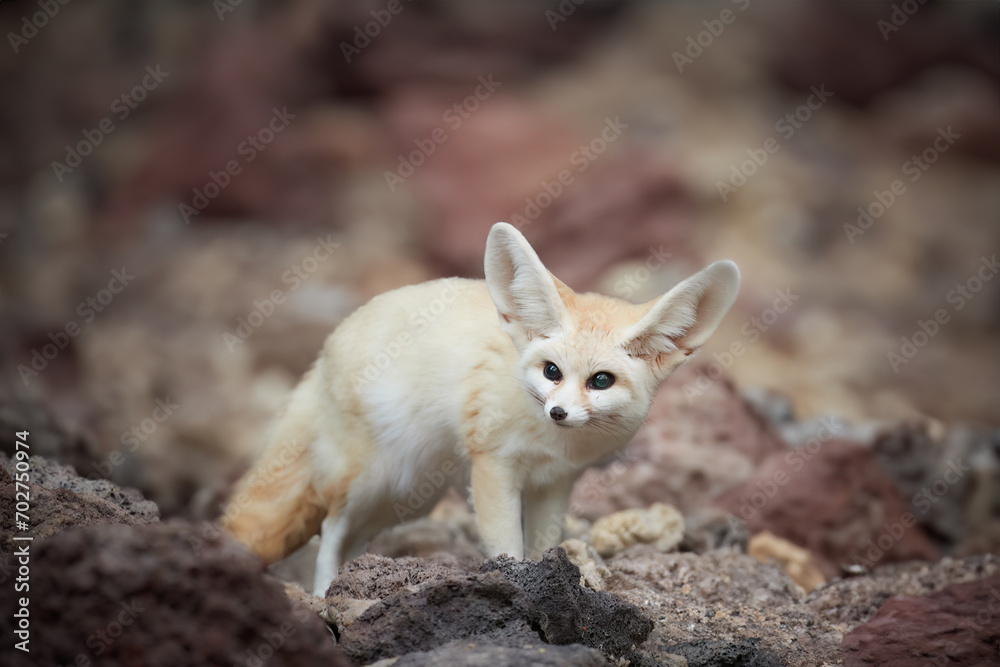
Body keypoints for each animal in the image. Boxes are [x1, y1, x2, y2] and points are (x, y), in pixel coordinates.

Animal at [224, 222, 740, 596]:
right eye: (552, 372)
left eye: (601, 381)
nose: (558, 413)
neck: (550, 441)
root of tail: (326, 347)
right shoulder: (492, 465)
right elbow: (507, 545)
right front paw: (518, 587)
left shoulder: (556, 481)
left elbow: (544, 543)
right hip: (368, 481)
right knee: (329, 529)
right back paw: (324, 595)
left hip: (405, 498)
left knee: (349, 535)